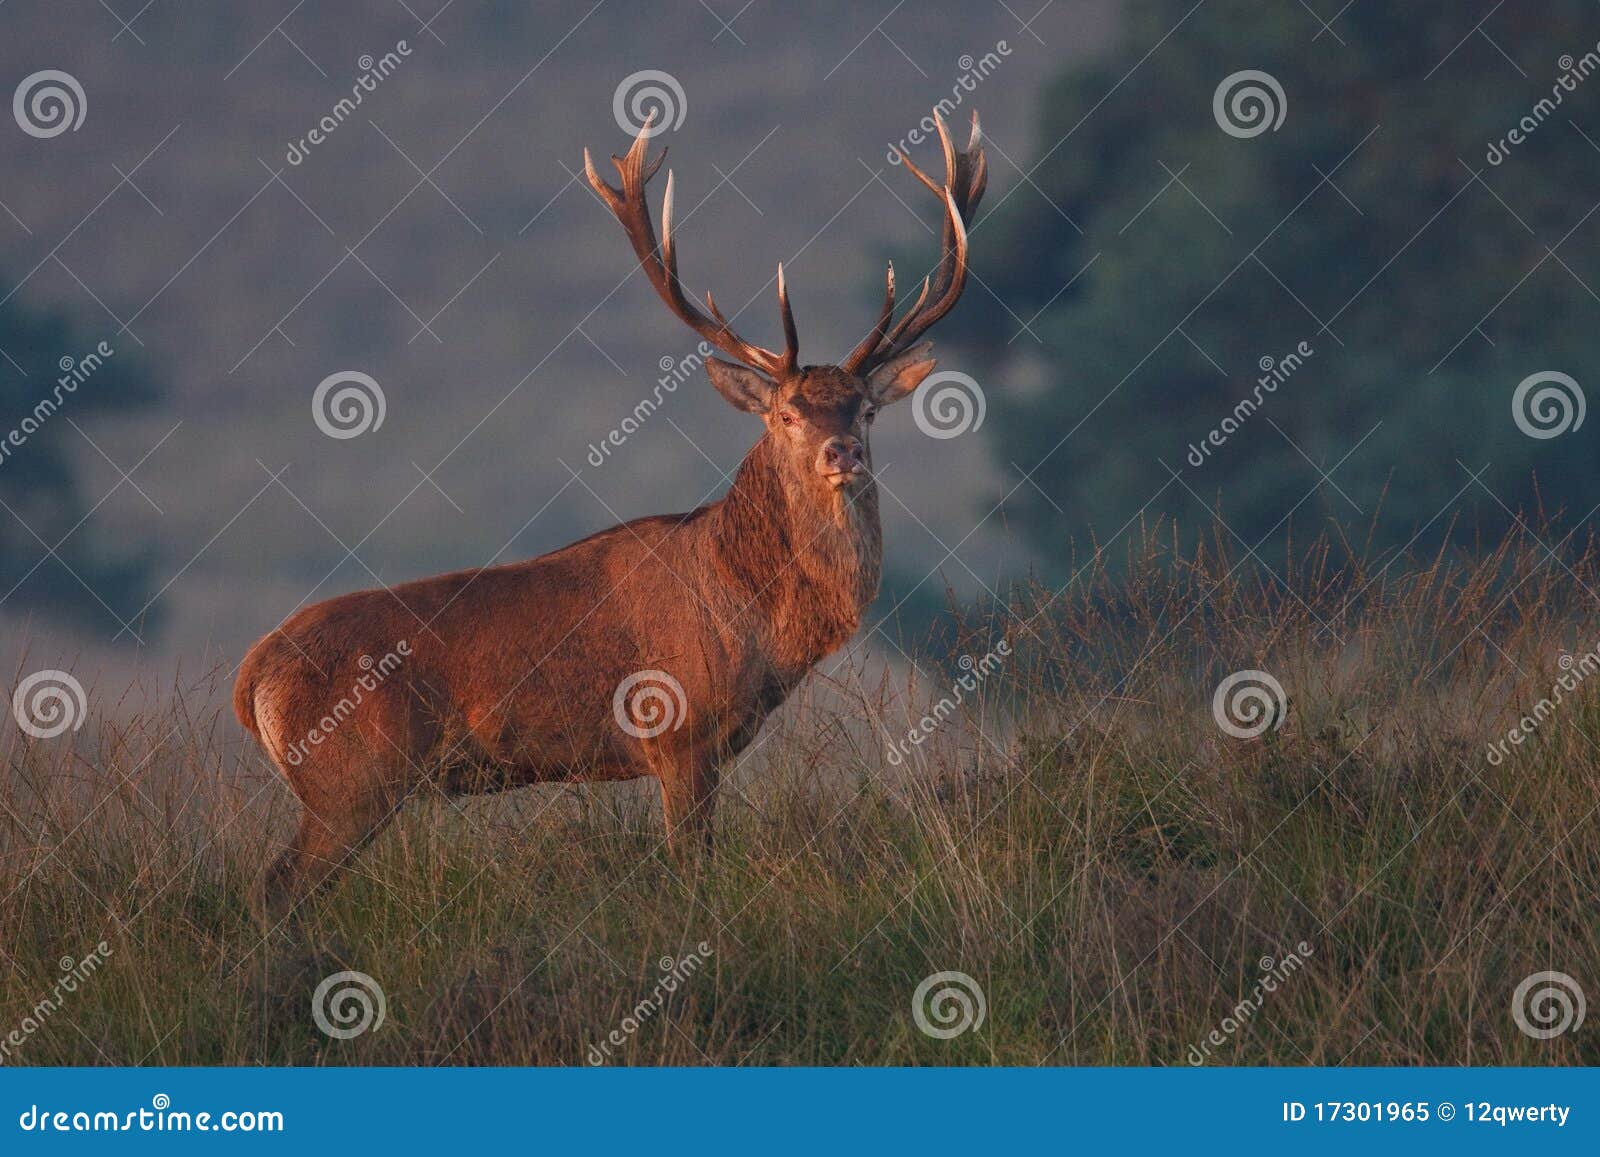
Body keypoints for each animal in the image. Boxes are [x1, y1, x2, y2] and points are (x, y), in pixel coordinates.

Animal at [234, 109, 987, 915]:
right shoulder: (679, 733)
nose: (840, 452)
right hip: (349, 783)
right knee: (275, 888)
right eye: (785, 414)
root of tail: (252, 680)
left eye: (867, 409)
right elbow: (691, 864)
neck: (756, 621)